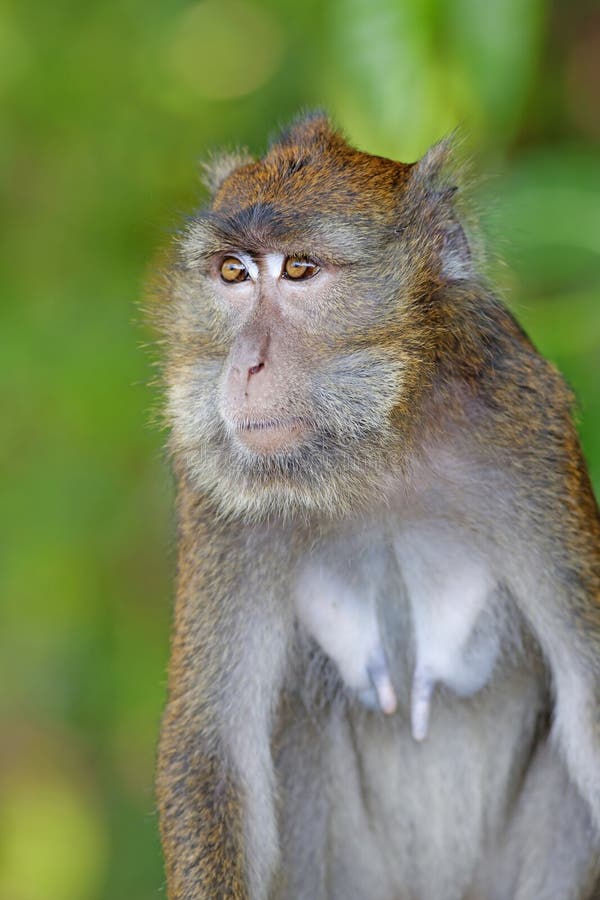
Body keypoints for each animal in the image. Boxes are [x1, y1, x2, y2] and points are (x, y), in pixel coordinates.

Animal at [153, 112, 600, 899]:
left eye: (300, 270)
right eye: (233, 273)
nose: (245, 366)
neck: (378, 448)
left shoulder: (527, 433)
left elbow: (591, 698)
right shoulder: (216, 496)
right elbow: (215, 749)